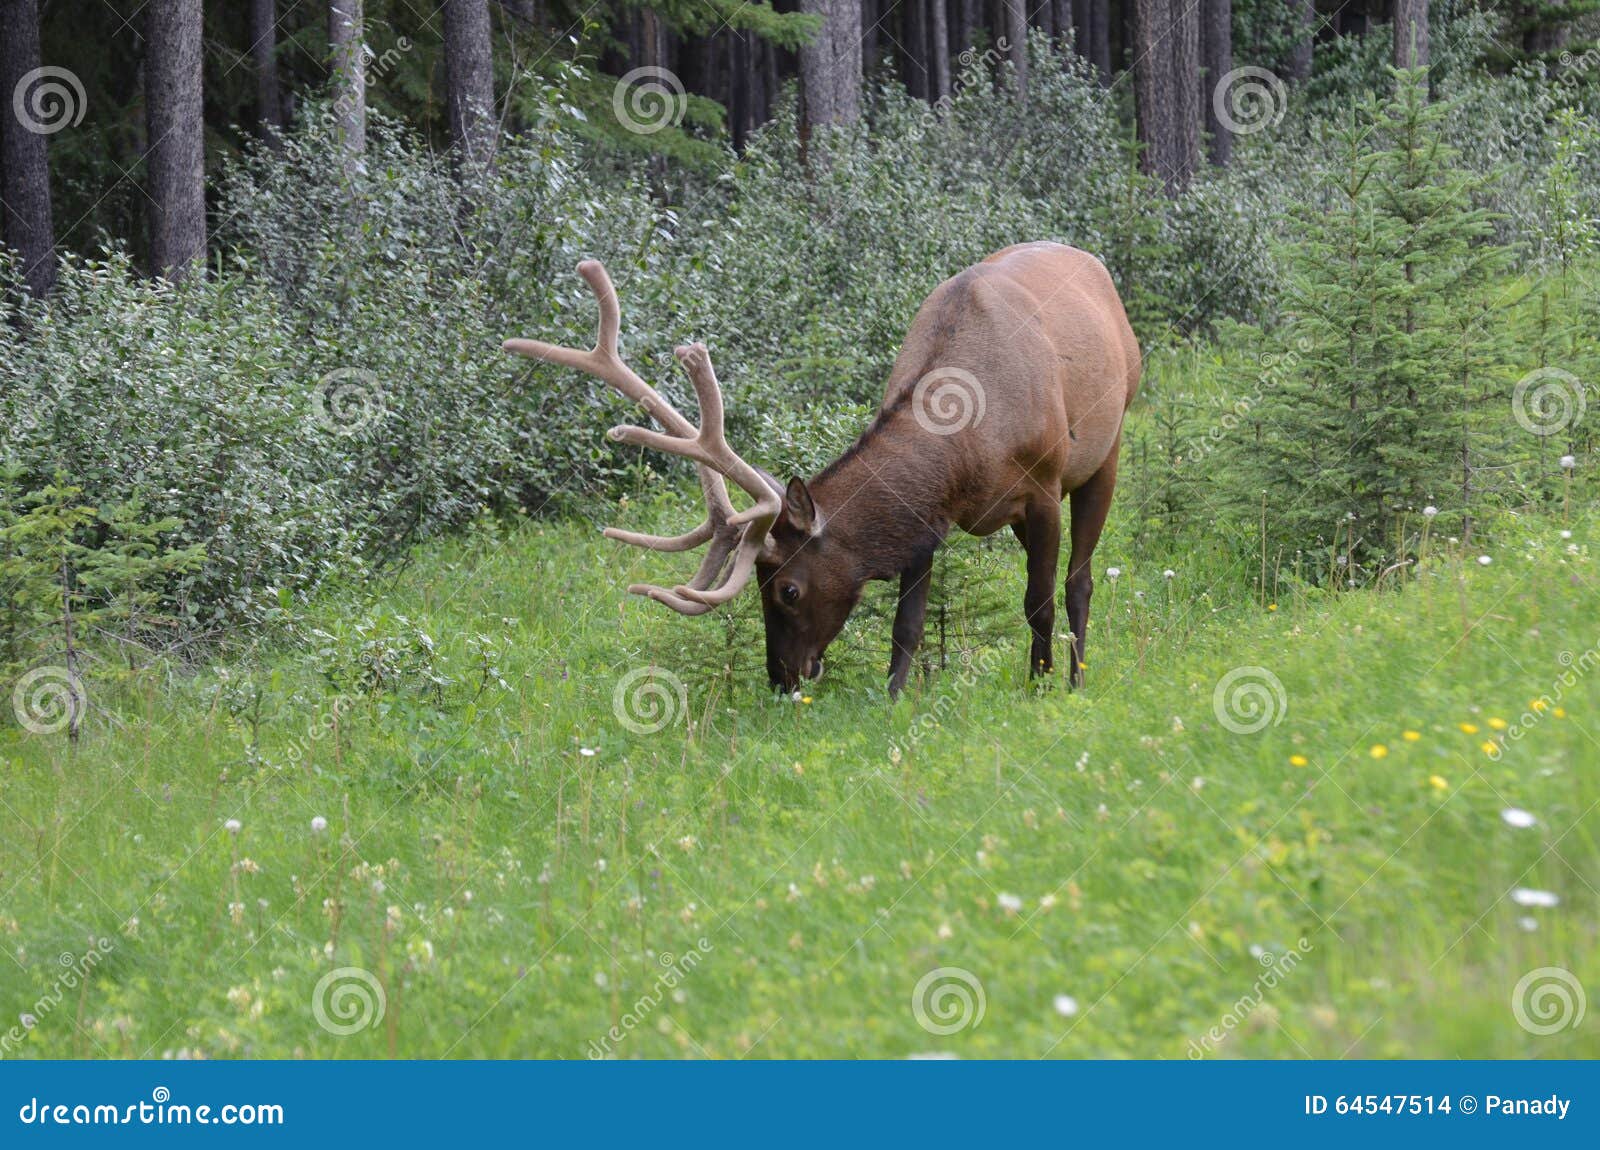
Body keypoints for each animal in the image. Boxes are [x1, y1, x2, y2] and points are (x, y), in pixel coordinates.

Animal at [504, 241, 1140, 697]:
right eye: (759, 585)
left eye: (787, 588)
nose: (780, 678)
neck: (967, 446)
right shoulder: (929, 515)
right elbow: (907, 623)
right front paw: (893, 698)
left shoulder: (1042, 487)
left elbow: (1038, 600)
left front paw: (1040, 685)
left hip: (1104, 452)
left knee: (1079, 579)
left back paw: (1077, 677)